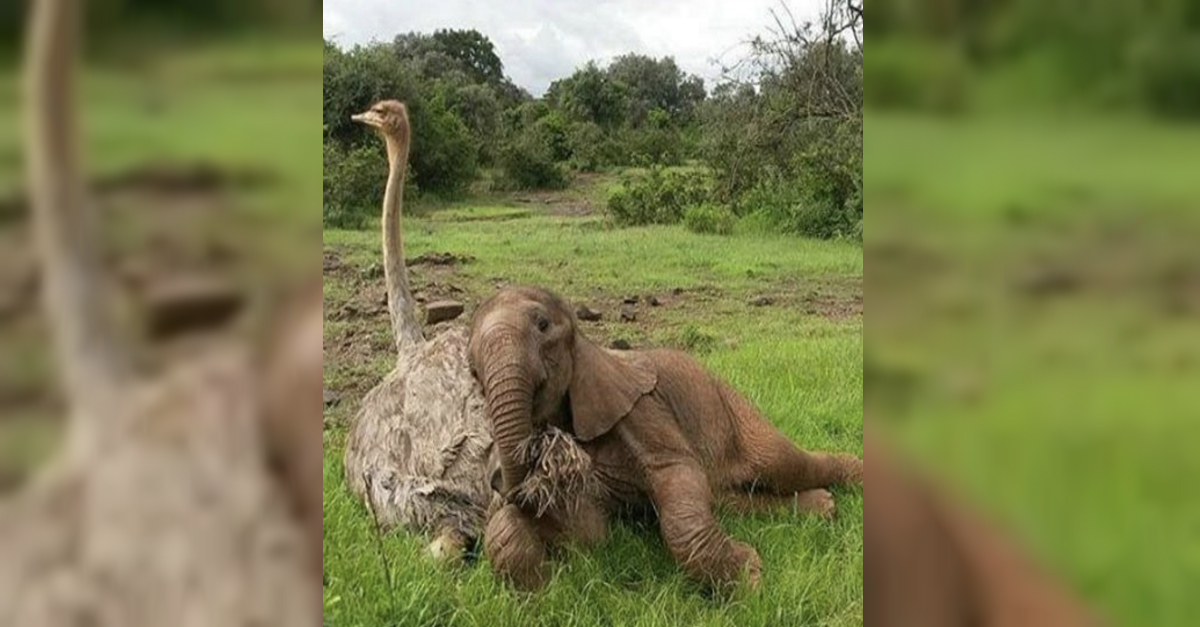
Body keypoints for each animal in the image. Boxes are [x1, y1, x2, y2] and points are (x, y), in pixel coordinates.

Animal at [467, 285, 863, 591]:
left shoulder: (642, 409)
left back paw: (853, 478)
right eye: (472, 368)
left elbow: (677, 475)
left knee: (781, 464)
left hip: (732, 408)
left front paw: (750, 580)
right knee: (723, 496)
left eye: (543, 325)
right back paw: (823, 506)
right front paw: (547, 587)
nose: (499, 480)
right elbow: (589, 532)